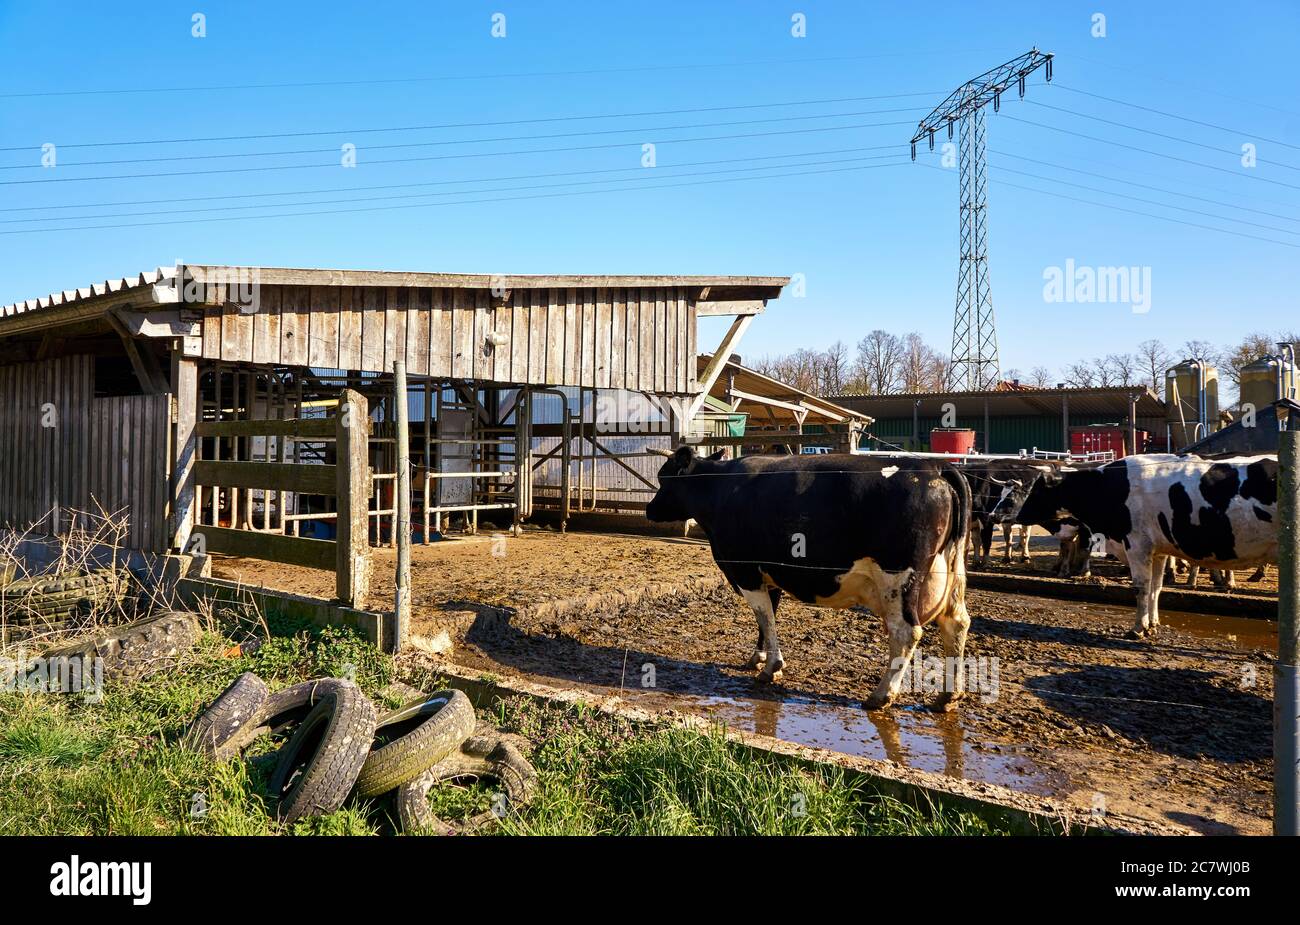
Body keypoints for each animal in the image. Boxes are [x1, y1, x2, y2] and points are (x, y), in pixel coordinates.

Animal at [645, 446, 972, 710]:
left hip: (897, 578)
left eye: (664, 478)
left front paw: (771, 667)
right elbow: (768, 616)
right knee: (956, 623)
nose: (649, 509)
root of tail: (932, 467)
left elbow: (764, 616)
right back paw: (948, 696)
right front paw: (759, 657)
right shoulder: (769, 572)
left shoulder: (746, 572)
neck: (720, 488)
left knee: (906, 632)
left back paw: (881, 695)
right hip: (948, 575)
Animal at [1003, 453, 1278, 638]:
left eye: (1034, 491)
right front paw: (1153, 624)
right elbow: (1156, 587)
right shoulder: (1158, 550)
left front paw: (1138, 628)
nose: (1010, 515)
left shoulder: (1137, 546)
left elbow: (1141, 588)